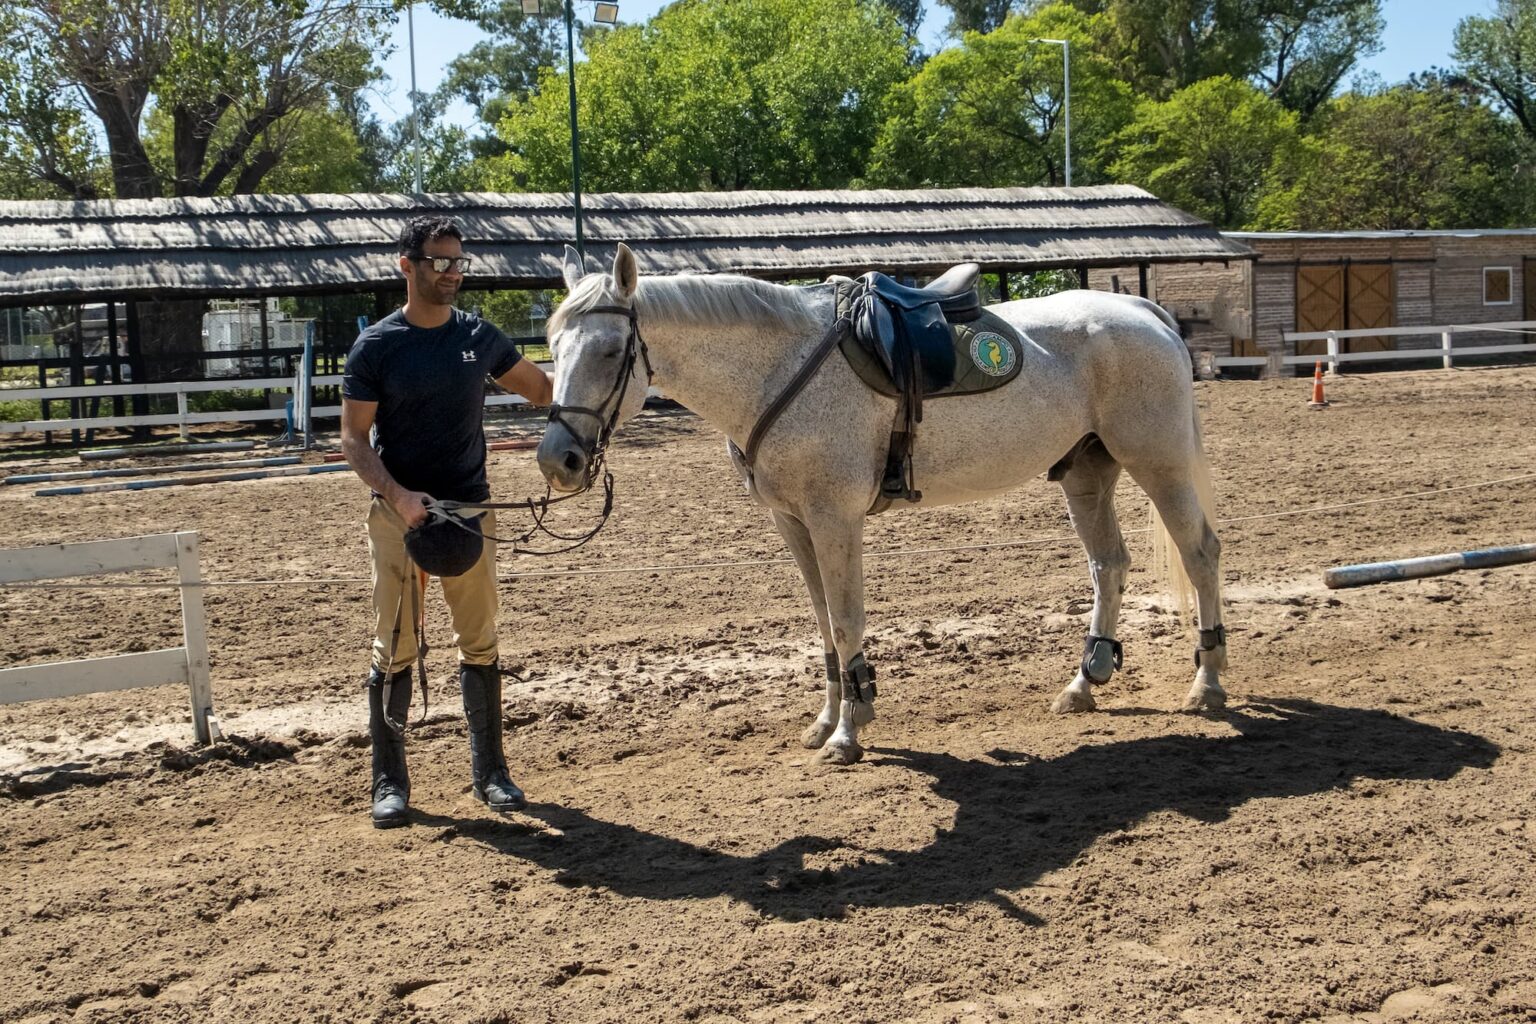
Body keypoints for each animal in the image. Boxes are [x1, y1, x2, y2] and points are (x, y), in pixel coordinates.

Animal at [537, 243, 1227, 765]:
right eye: (551, 346)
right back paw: (1085, 682)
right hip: (1086, 473)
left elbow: (846, 620)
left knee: (1199, 554)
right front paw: (830, 718)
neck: (777, 365)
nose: (556, 460)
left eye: (608, 351)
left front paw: (848, 732)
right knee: (1109, 566)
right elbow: (821, 623)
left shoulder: (833, 518)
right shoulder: (793, 522)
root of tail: (1140, 309)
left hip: (1159, 464)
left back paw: (1208, 682)